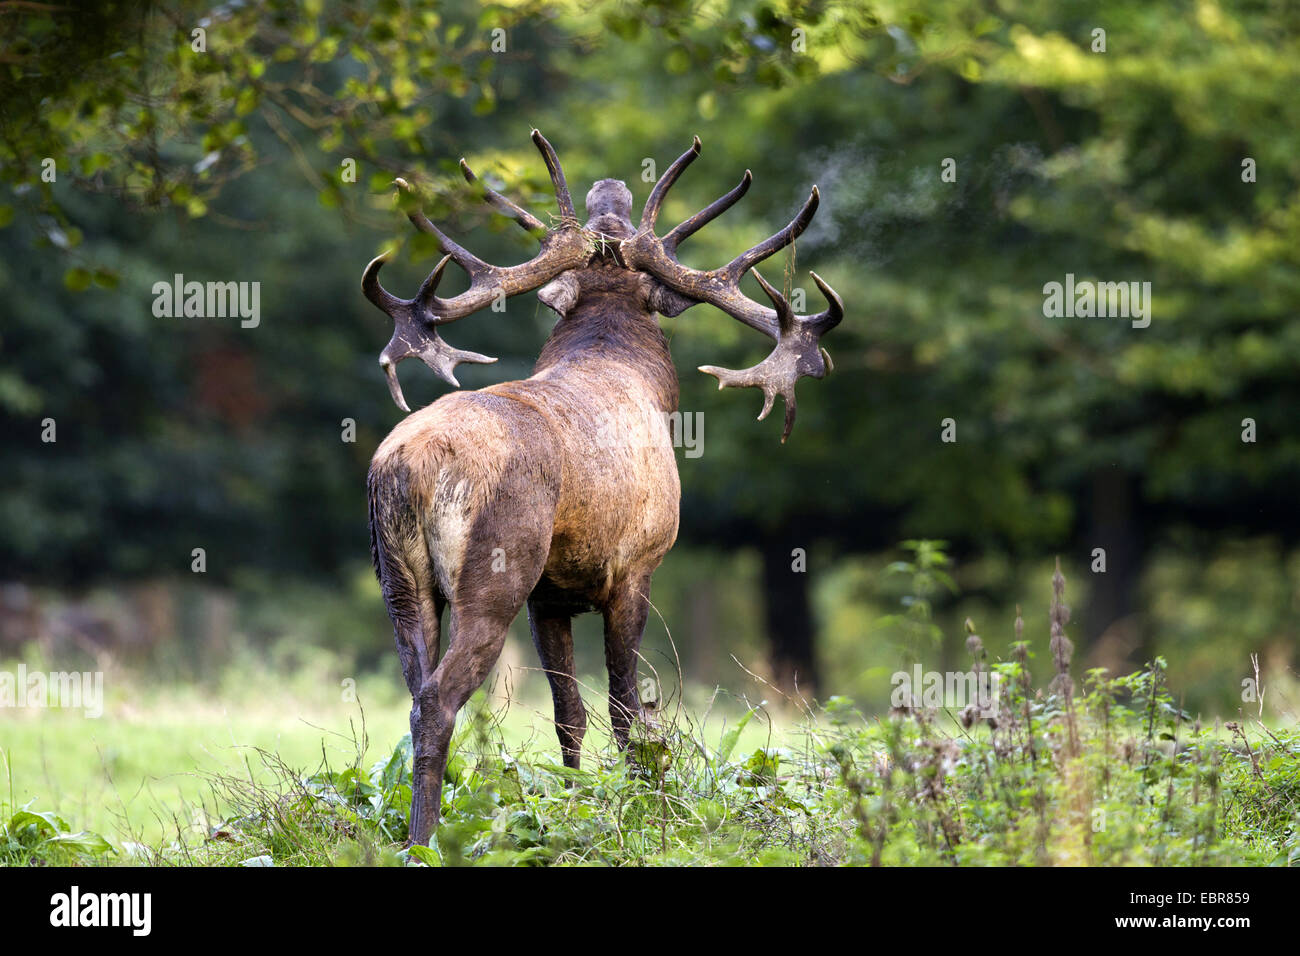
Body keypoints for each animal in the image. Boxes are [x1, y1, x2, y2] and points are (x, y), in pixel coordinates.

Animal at [362, 130, 843, 846]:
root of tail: (409, 466)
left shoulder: (549, 596)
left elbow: (570, 712)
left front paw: (573, 806)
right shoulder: (636, 564)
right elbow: (625, 711)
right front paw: (646, 814)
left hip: (399, 578)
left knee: (417, 692)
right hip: (494, 570)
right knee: (441, 698)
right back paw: (424, 840)